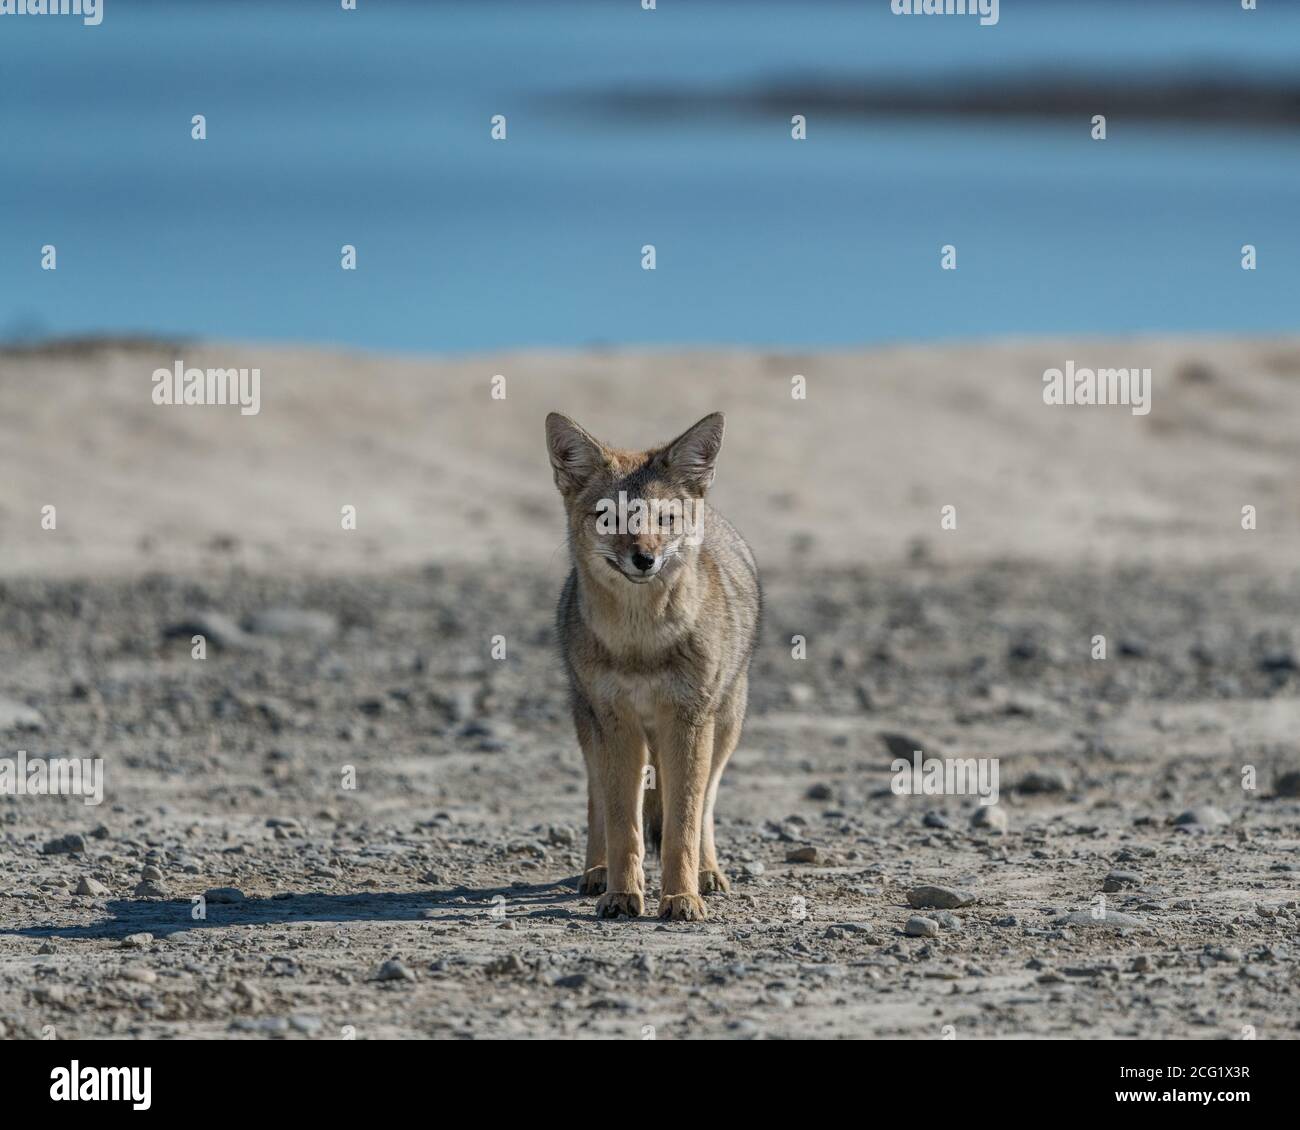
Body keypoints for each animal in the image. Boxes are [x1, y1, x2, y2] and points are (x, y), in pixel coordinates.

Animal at [546, 411, 760, 921]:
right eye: (609, 516)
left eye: (665, 519)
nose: (644, 558)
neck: (641, 645)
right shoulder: (615, 723)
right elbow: (623, 824)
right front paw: (623, 894)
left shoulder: (687, 720)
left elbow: (683, 824)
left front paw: (682, 898)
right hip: (592, 729)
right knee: (598, 802)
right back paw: (597, 872)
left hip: (722, 730)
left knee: (705, 805)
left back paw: (708, 873)